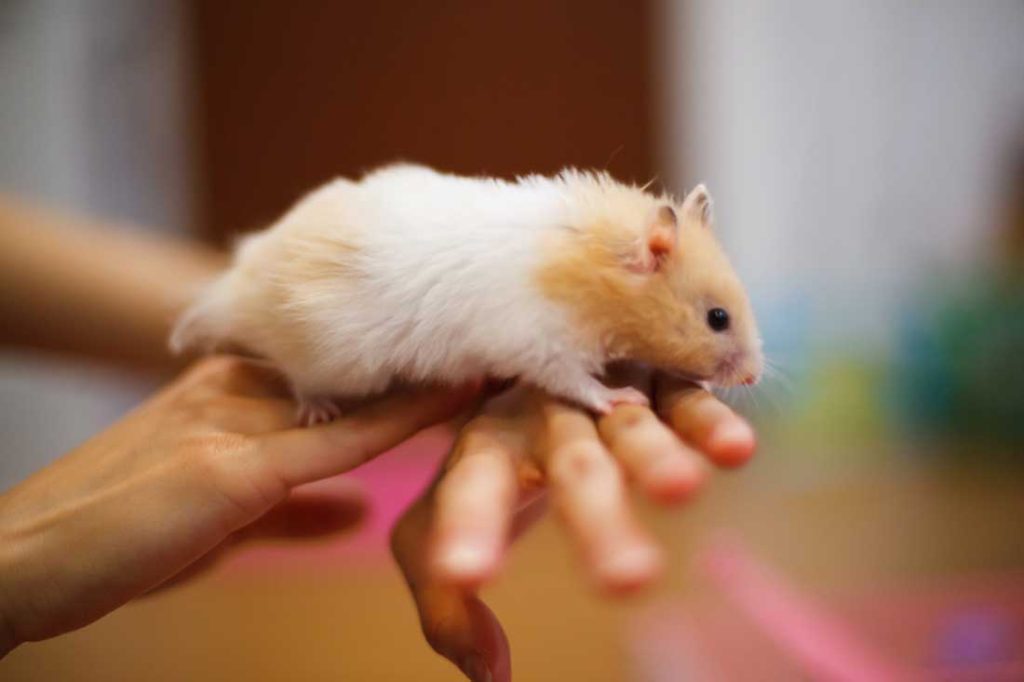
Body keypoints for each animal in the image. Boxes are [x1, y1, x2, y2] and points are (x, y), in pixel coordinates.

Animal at [171, 163, 763, 424]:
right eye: (717, 318)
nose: (754, 378)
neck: (593, 274)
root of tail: (236, 286)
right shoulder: (542, 347)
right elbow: (579, 385)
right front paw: (625, 398)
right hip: (336, 361)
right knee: (294, 375)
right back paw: (320, 412)